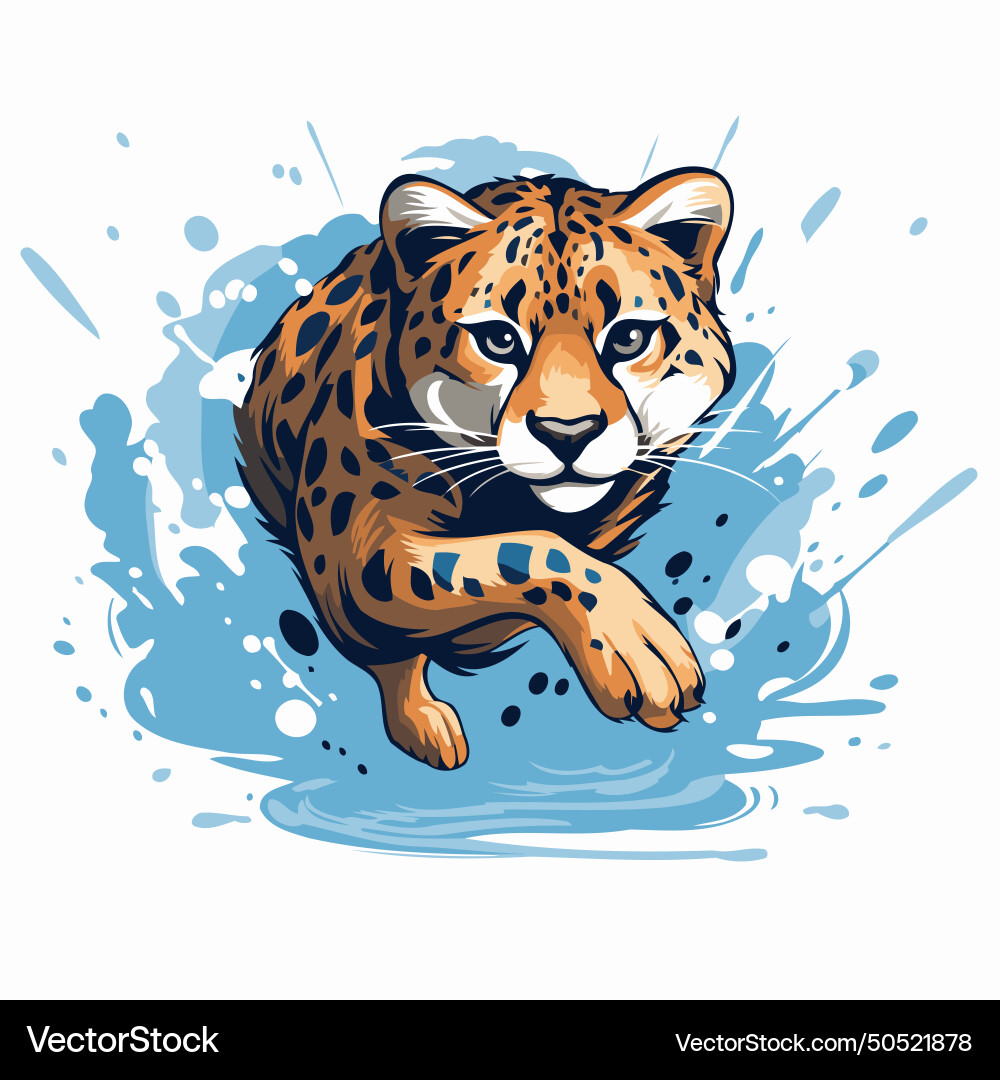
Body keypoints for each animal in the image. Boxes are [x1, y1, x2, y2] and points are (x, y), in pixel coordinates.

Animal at [234, 166, 736, 769]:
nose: (568, 432)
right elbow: (525, 549)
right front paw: (639, 646)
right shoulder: (359, 549)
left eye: (629, 337)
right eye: (498, 339)